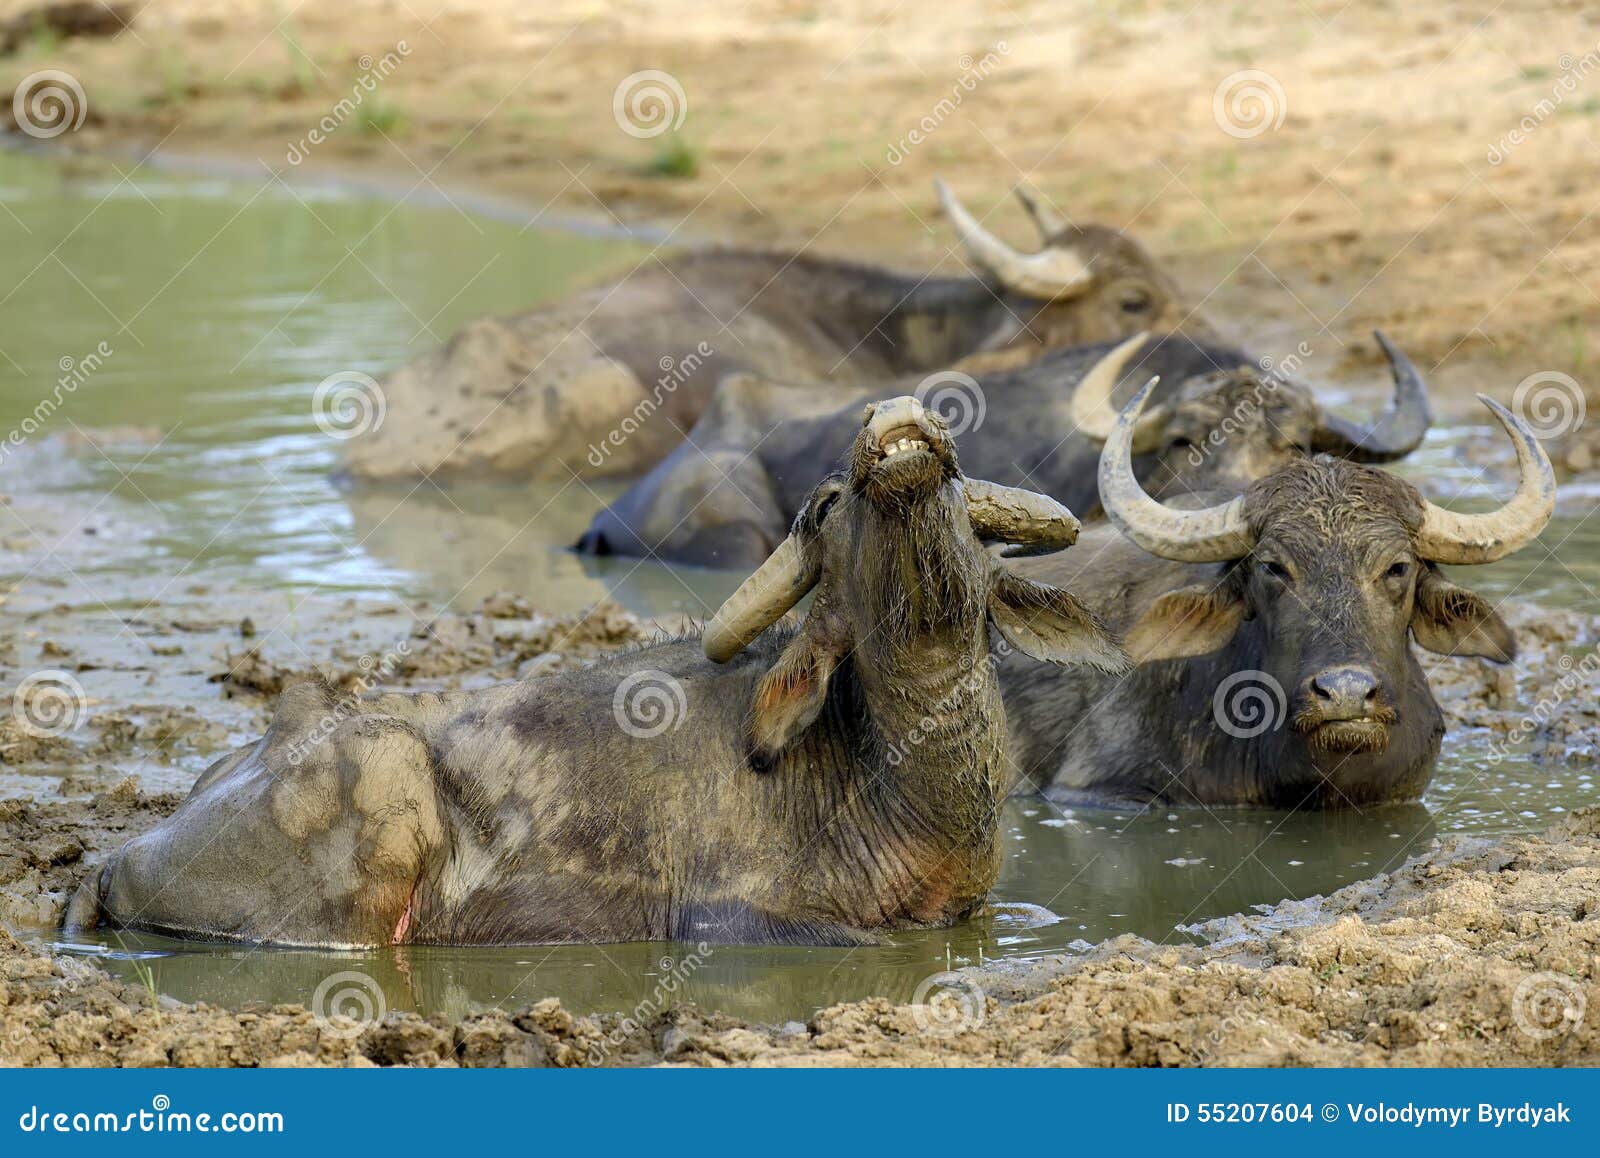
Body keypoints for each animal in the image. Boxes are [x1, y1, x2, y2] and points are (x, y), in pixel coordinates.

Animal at [67, 398, 1125, 947]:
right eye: (829, 508)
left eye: (962, 492)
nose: (898, 423)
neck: (892, 778)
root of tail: (121, 856)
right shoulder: (740, 923)